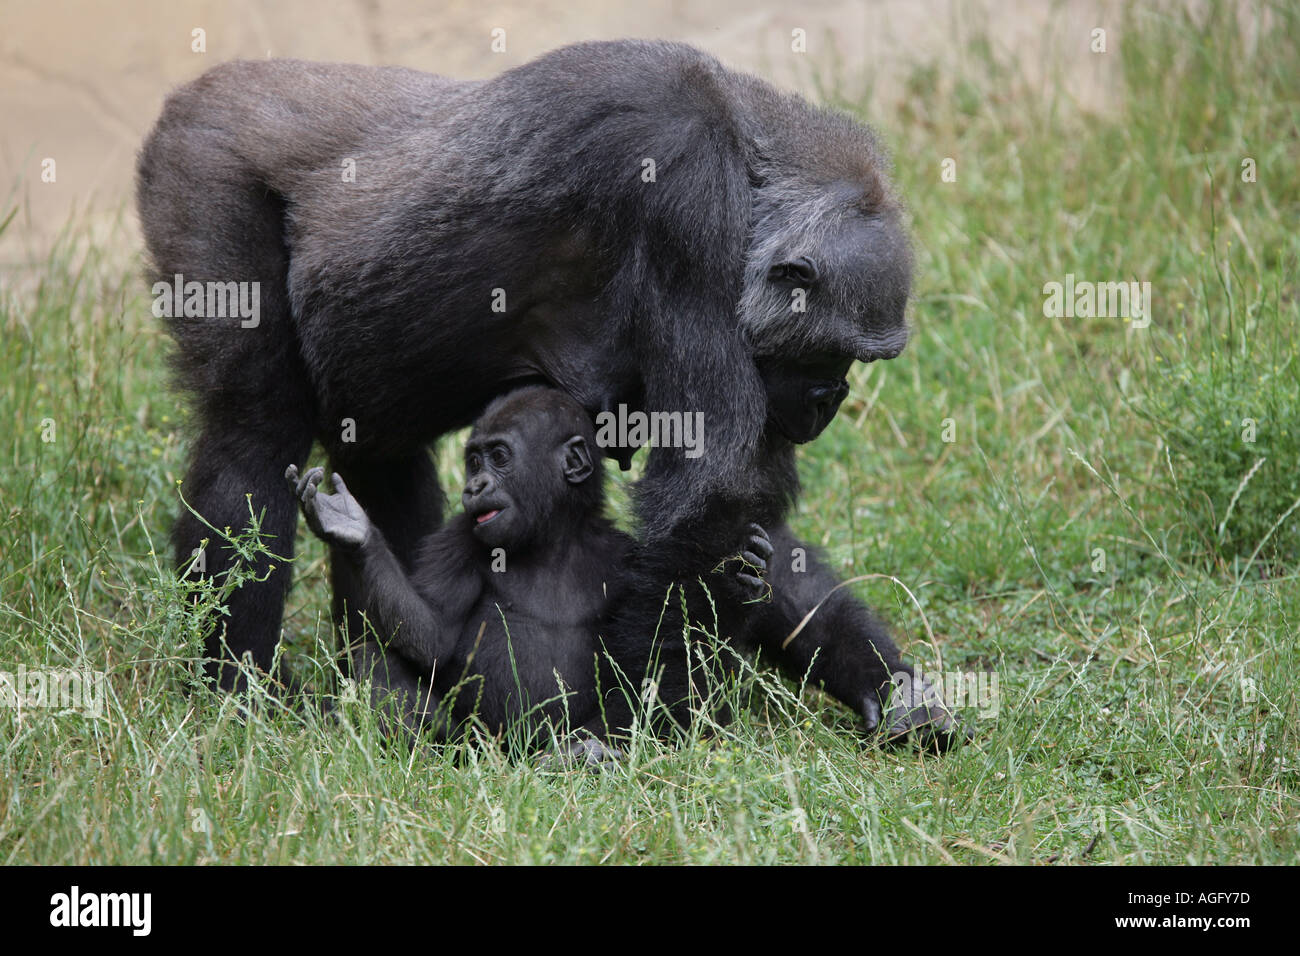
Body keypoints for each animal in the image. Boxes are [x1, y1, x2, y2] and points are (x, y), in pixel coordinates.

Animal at [286, 386, 773, 760]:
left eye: (499, 457)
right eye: (474, 461)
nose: (475, 486)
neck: (550, 538)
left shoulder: (624, 556)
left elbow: (659, 650)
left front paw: (736, 586)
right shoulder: (458, 541)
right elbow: (431, 637)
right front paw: (354, 530)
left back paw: (584, 755)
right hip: (480, 743)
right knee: (377, 659)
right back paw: (432, 755)